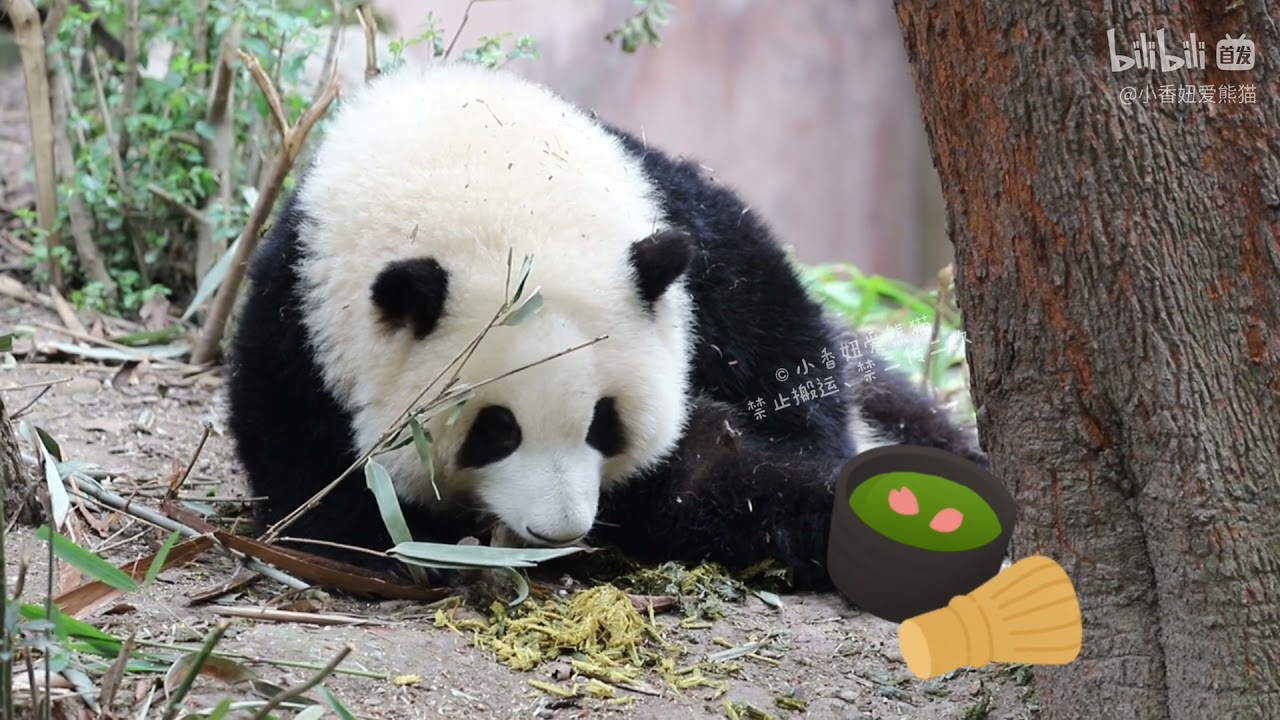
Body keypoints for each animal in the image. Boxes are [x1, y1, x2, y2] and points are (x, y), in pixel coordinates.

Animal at [225, 60, 985, 592]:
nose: (556, 529)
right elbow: (308, 467)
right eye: (495, 431)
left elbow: (781, 366)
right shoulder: (300, 310)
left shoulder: (692, 231)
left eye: (604, 421)